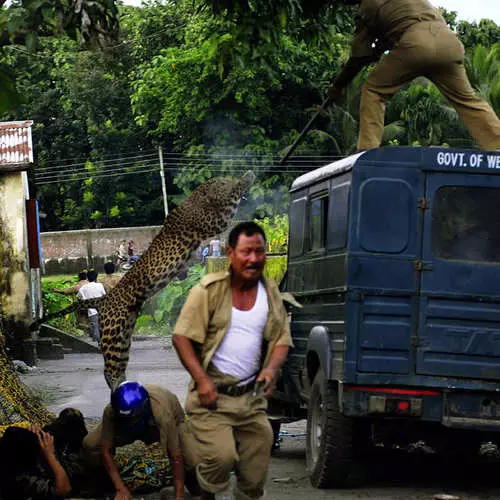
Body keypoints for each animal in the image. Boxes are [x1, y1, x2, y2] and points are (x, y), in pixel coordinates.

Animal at [31, 172, 254, 390]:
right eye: (222, 183)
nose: (228, 180)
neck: (197, 199)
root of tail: (104, 299)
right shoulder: (214, 221)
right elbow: (231, 201)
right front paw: (247, 176)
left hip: (123, 337)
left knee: (117, 366)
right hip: (112, 333)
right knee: (108, 369)